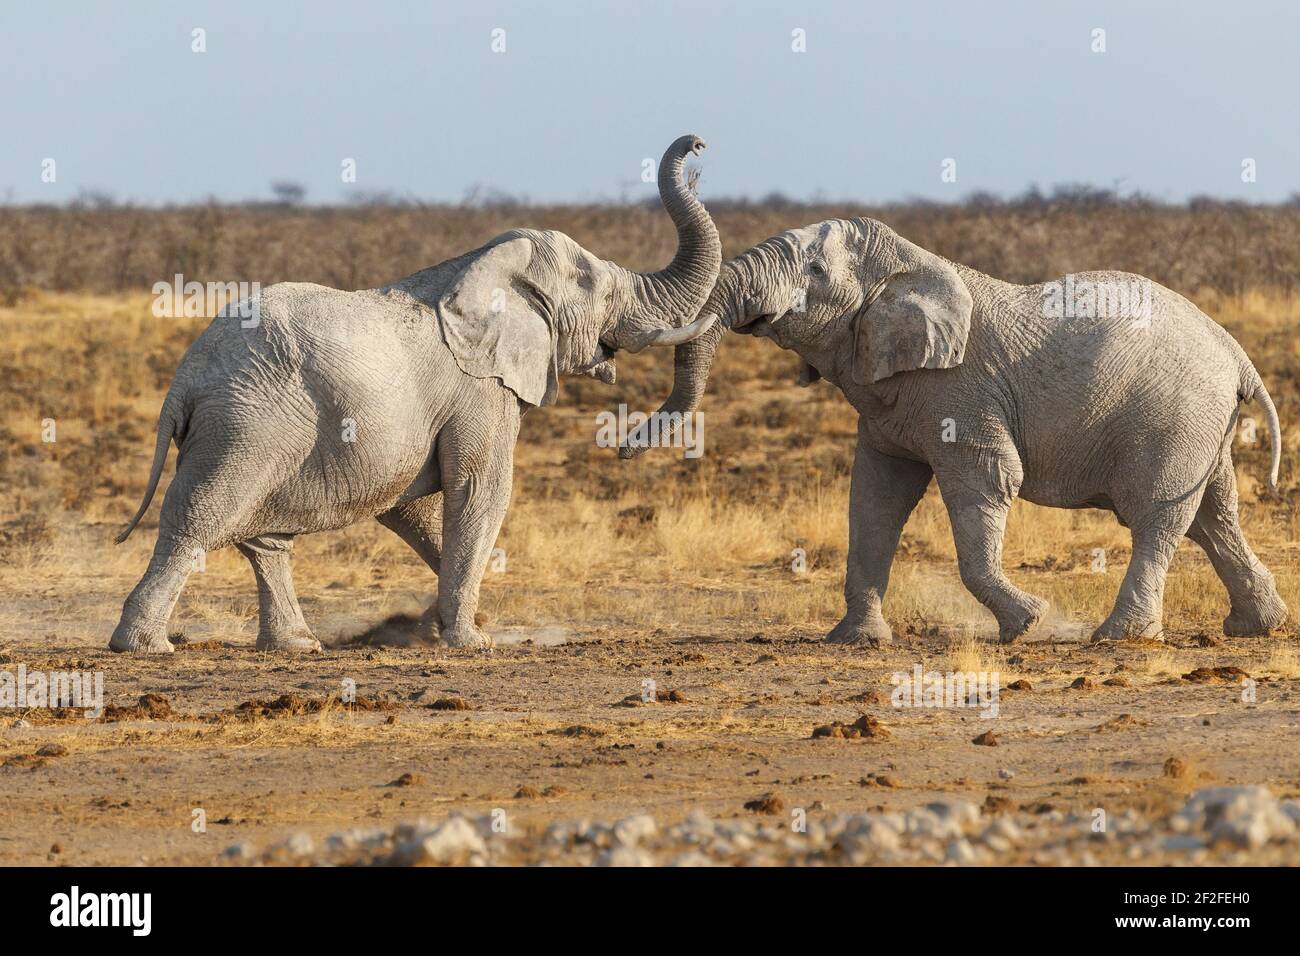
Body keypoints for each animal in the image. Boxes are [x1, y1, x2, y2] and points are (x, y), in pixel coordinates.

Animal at [110, 134, 721, 654]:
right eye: (597, 289)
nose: (697, 146)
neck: (484, 265)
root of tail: (183, 382)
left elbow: (412, 507)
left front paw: (442, 626)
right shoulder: (479, 390)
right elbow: (481, 490)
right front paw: (471, 642)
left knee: (264, 538)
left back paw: (295, 646)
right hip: (248, 423)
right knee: (200, 517)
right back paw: (144, 647)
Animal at [625, 217, 1287, 645]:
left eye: (813, 271)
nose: (629, 441)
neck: (908, 263)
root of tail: (1236, 352)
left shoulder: (961, 394)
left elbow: (989, 480)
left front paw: (1029, 624)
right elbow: (875, 498)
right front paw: (856, 641)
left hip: (1174, 418)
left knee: (1157, 516)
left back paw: (1118, 638)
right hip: (1200, 424)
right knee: (1215, 514)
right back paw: (1258, 628)